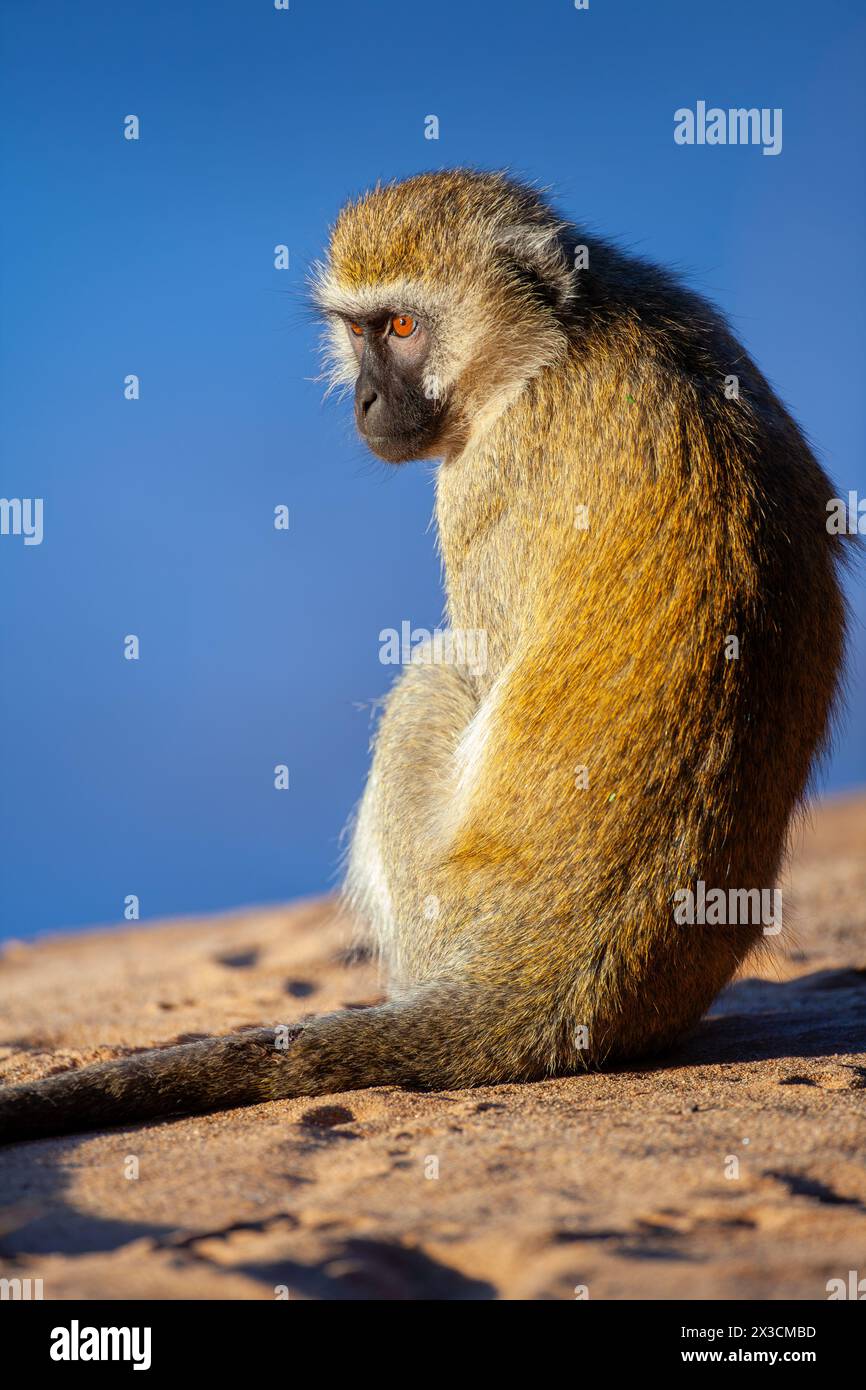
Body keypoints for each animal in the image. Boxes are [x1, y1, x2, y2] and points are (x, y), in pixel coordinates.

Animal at [0, 169, 849, 1145]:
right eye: (358, 330)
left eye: (403, 329)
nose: (364, 403)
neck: (560, 337)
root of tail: (549, 991)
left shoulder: (488, 471)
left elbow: (477, 663)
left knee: (431, 680)